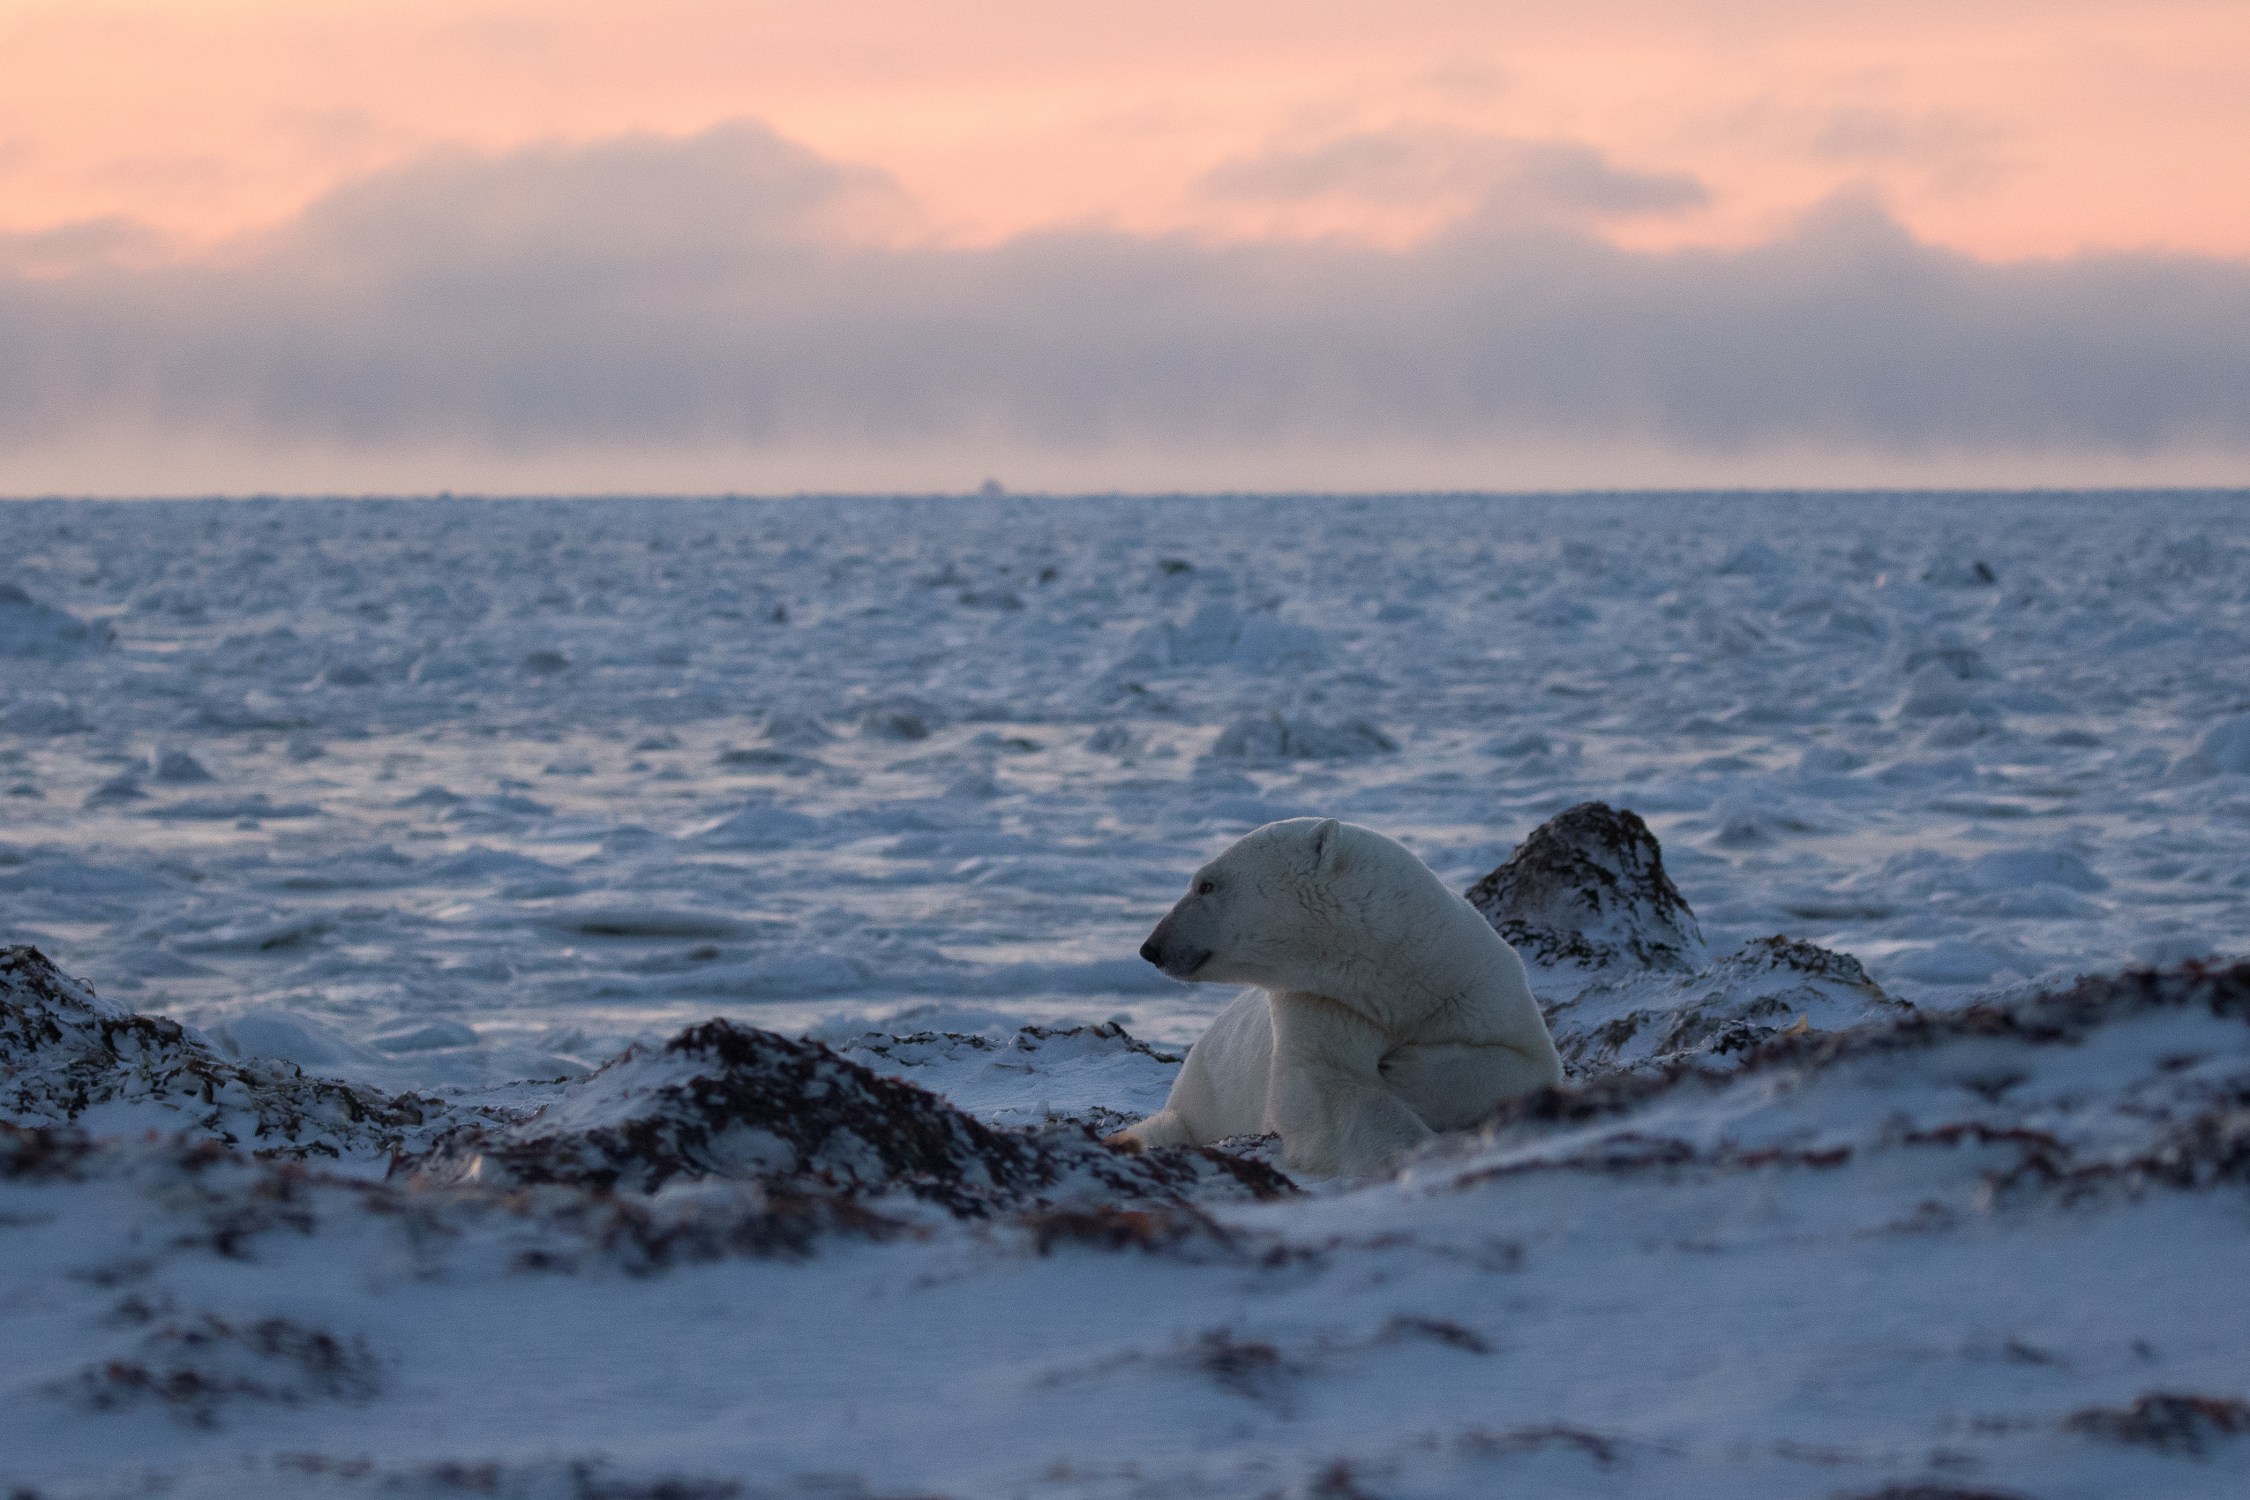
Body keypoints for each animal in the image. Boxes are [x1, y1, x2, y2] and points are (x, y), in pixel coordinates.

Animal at [1113, 817, 1564, 1177]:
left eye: (1206, 884)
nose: (1151, 947)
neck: (1393, 972)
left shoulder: (1476, 982)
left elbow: (1522, 1061)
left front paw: (1400, 1069)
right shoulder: (1321, 1004)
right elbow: (1328, 1093)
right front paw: (1414, 1149)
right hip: (1200, 1104)